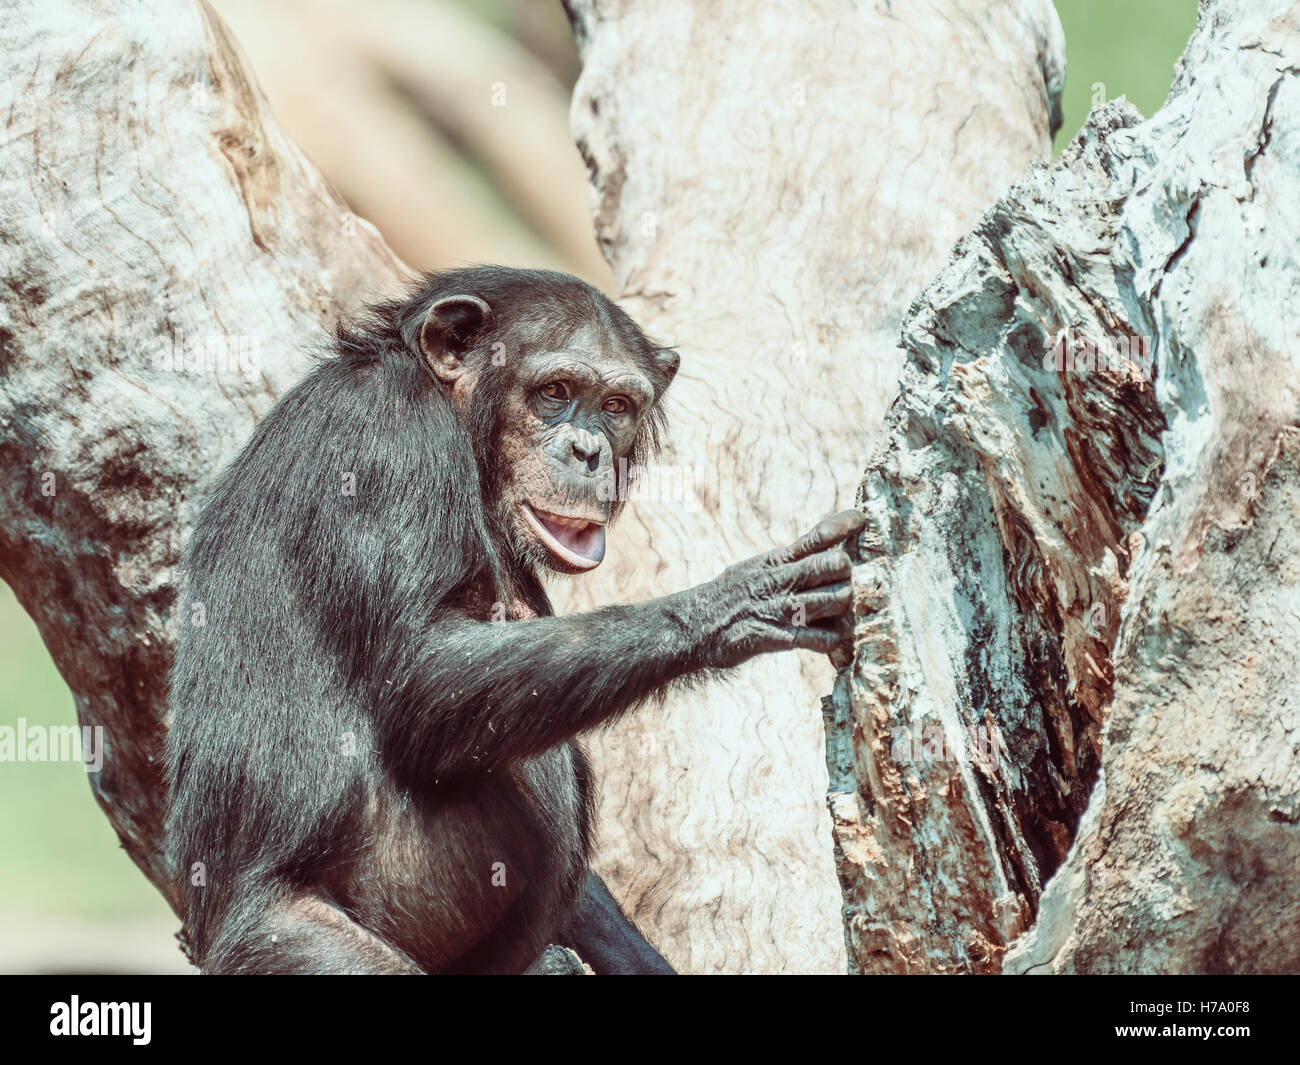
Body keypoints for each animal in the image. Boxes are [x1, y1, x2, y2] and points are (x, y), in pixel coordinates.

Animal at [165, 266, 863, 974]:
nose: (587, 450)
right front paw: (740, 600)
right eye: (554, 393)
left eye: (616, 406)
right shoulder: (383, 440)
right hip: (303, 944)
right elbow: (421, 671)